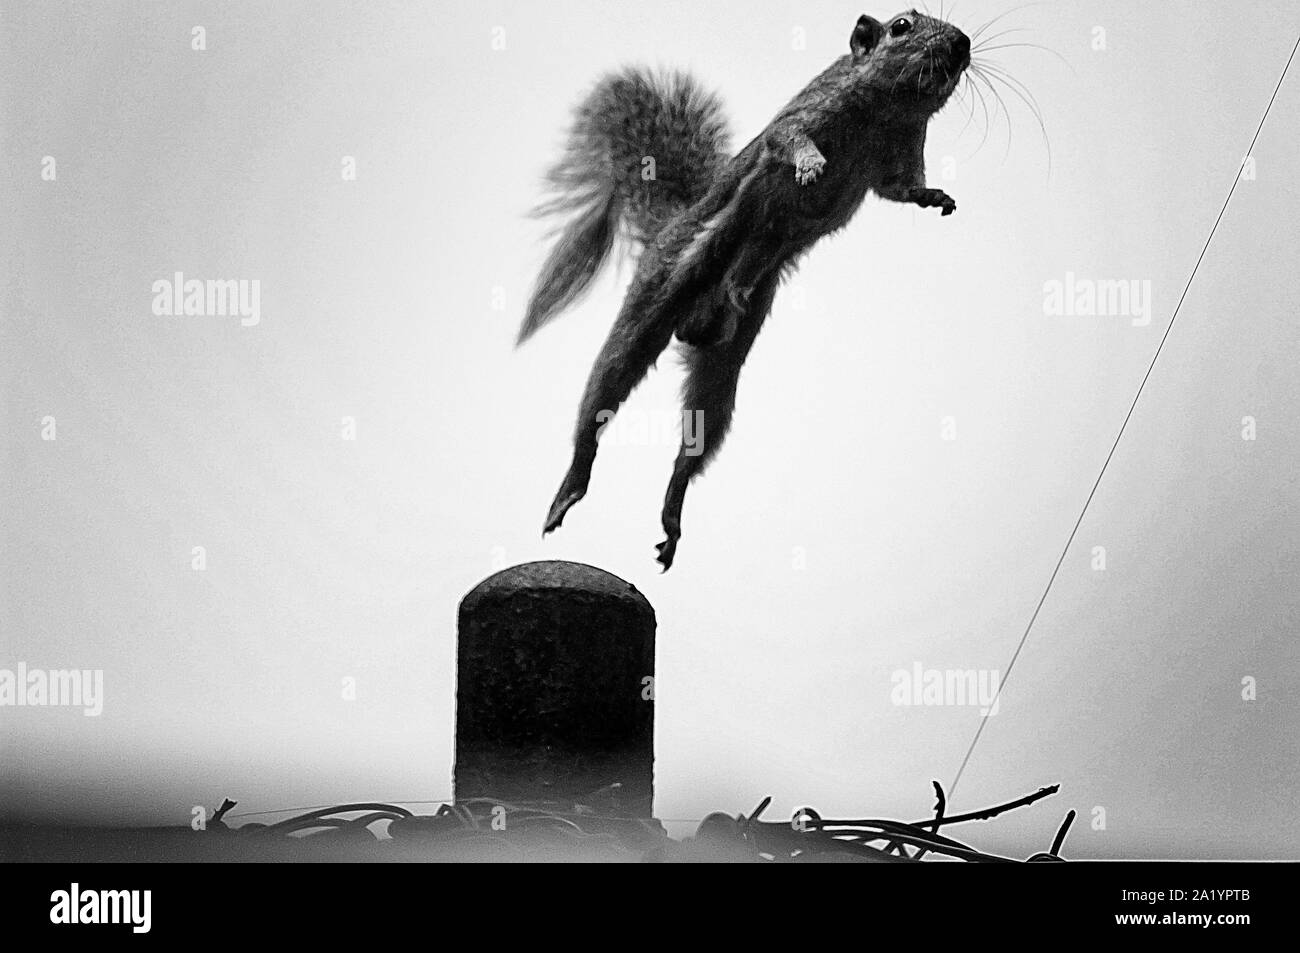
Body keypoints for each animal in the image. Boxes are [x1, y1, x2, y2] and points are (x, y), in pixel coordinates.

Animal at [518, 11, 971, 570]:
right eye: (902, 25)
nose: (962, 44)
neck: (887, 112)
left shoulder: (899, 155)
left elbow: (902, 188)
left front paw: (936, 196)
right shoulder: (801, 118)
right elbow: (789, 142)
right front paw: (810, 165)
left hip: (728, 358)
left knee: (696, 440)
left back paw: (671, 517)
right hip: (654, 302)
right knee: (602, 397)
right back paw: (570, 486)